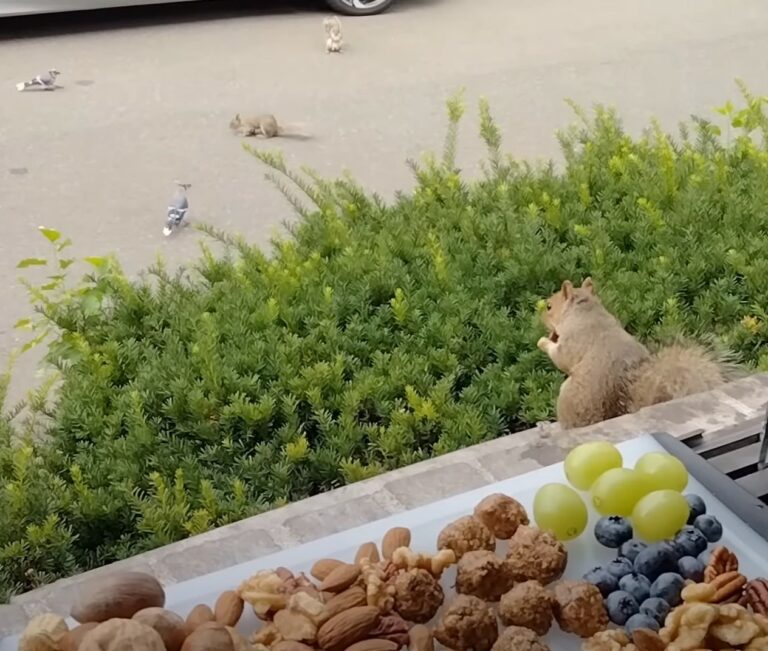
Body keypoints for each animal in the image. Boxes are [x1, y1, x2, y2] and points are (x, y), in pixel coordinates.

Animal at [537, 277, 738, 429]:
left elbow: (561, 357)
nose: (540, 316)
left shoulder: (572, 340)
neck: (585, 310)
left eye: (549, 307)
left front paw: (543, 342)